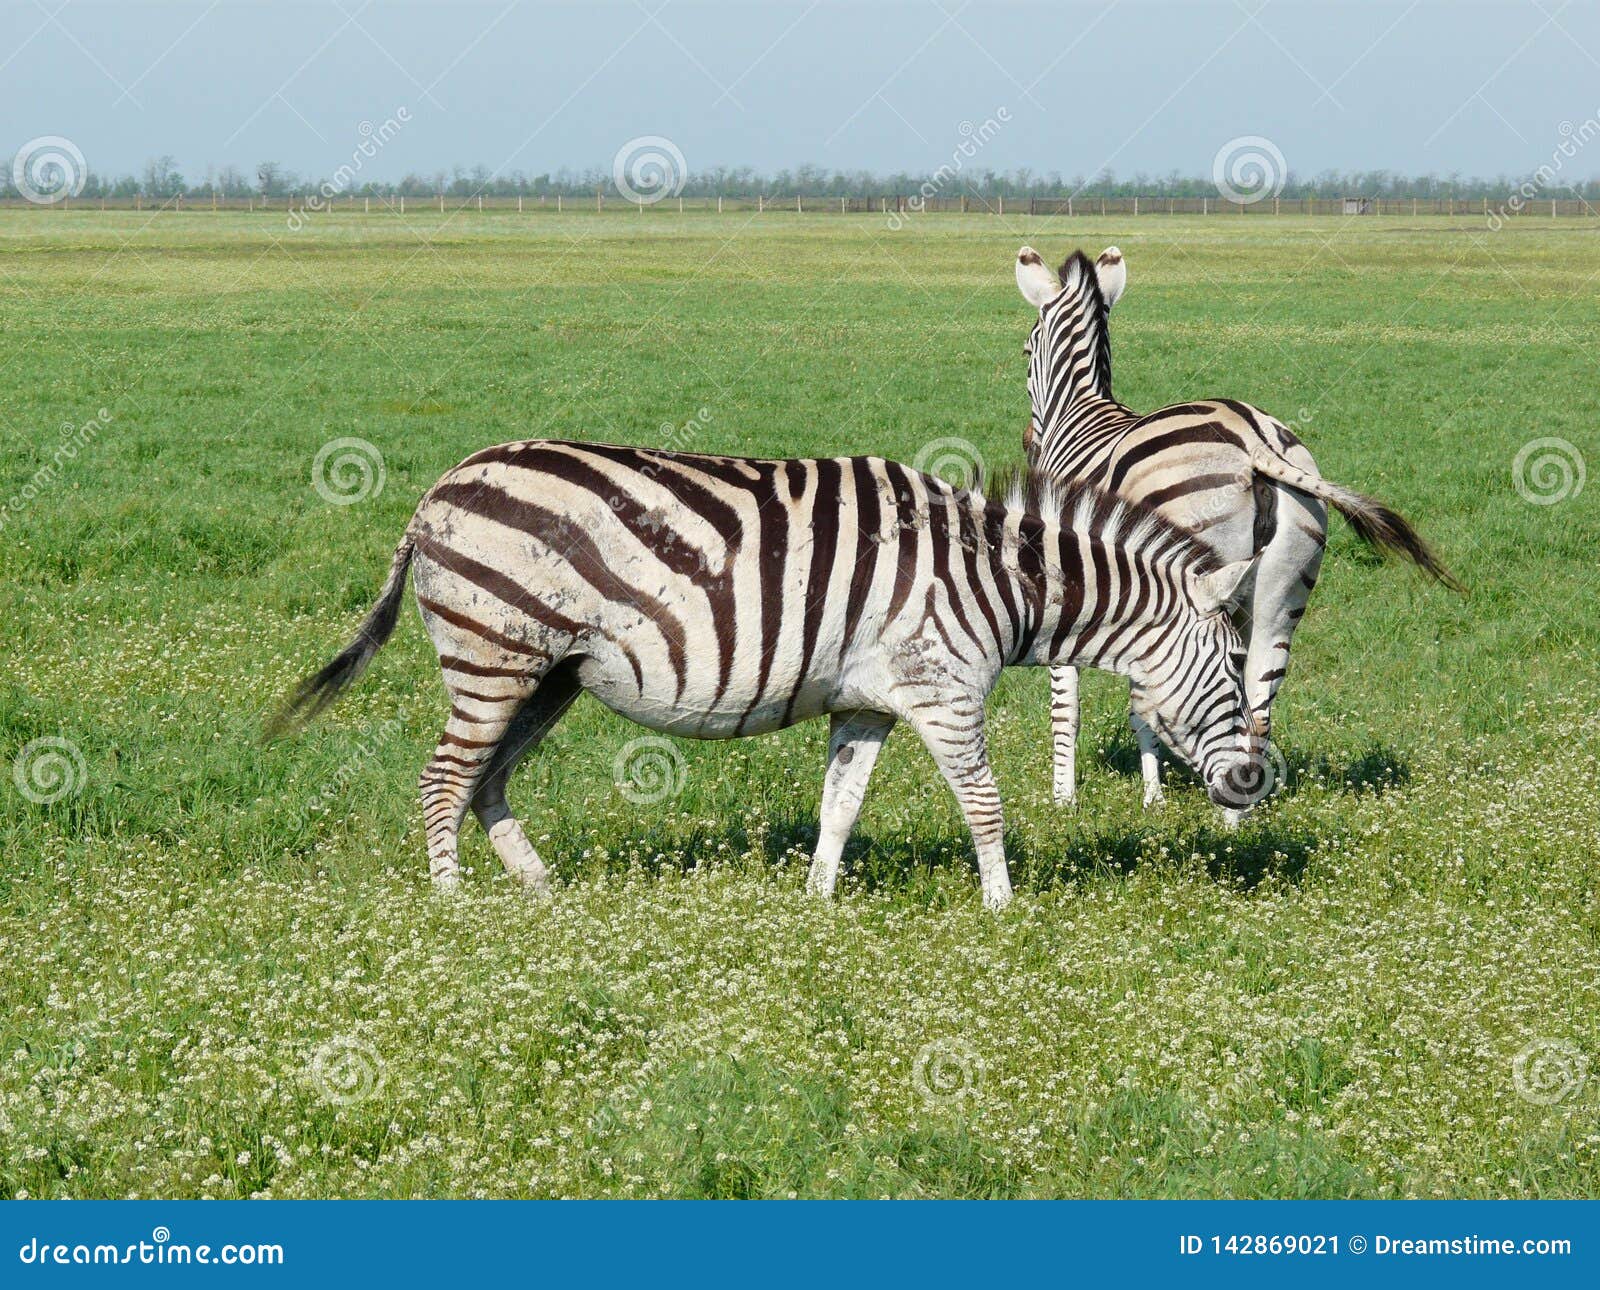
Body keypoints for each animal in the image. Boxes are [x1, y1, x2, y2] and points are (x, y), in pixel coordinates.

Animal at [271, 439, 1261, 910]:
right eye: (1230, 668)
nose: (1257, 783)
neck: (994, 578)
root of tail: (435, 492)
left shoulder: (868, 704)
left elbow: (840, 806)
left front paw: (816, 905)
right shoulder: (942, 691)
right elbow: (985, 805)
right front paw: (1005, 908)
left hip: (548, 673)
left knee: (485, 781)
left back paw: (544, 896)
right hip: (494, 653)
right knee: (445, 780)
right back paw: (457, 908)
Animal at [1015, 244, 1458, 813]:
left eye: (1026, 350)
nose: (1027, 440)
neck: (1080, 414)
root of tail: (1254, 436)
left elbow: (1068, 704)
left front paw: (1069, 799)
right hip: (1280, 589)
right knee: (1257, 710)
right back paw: (1240, 812)